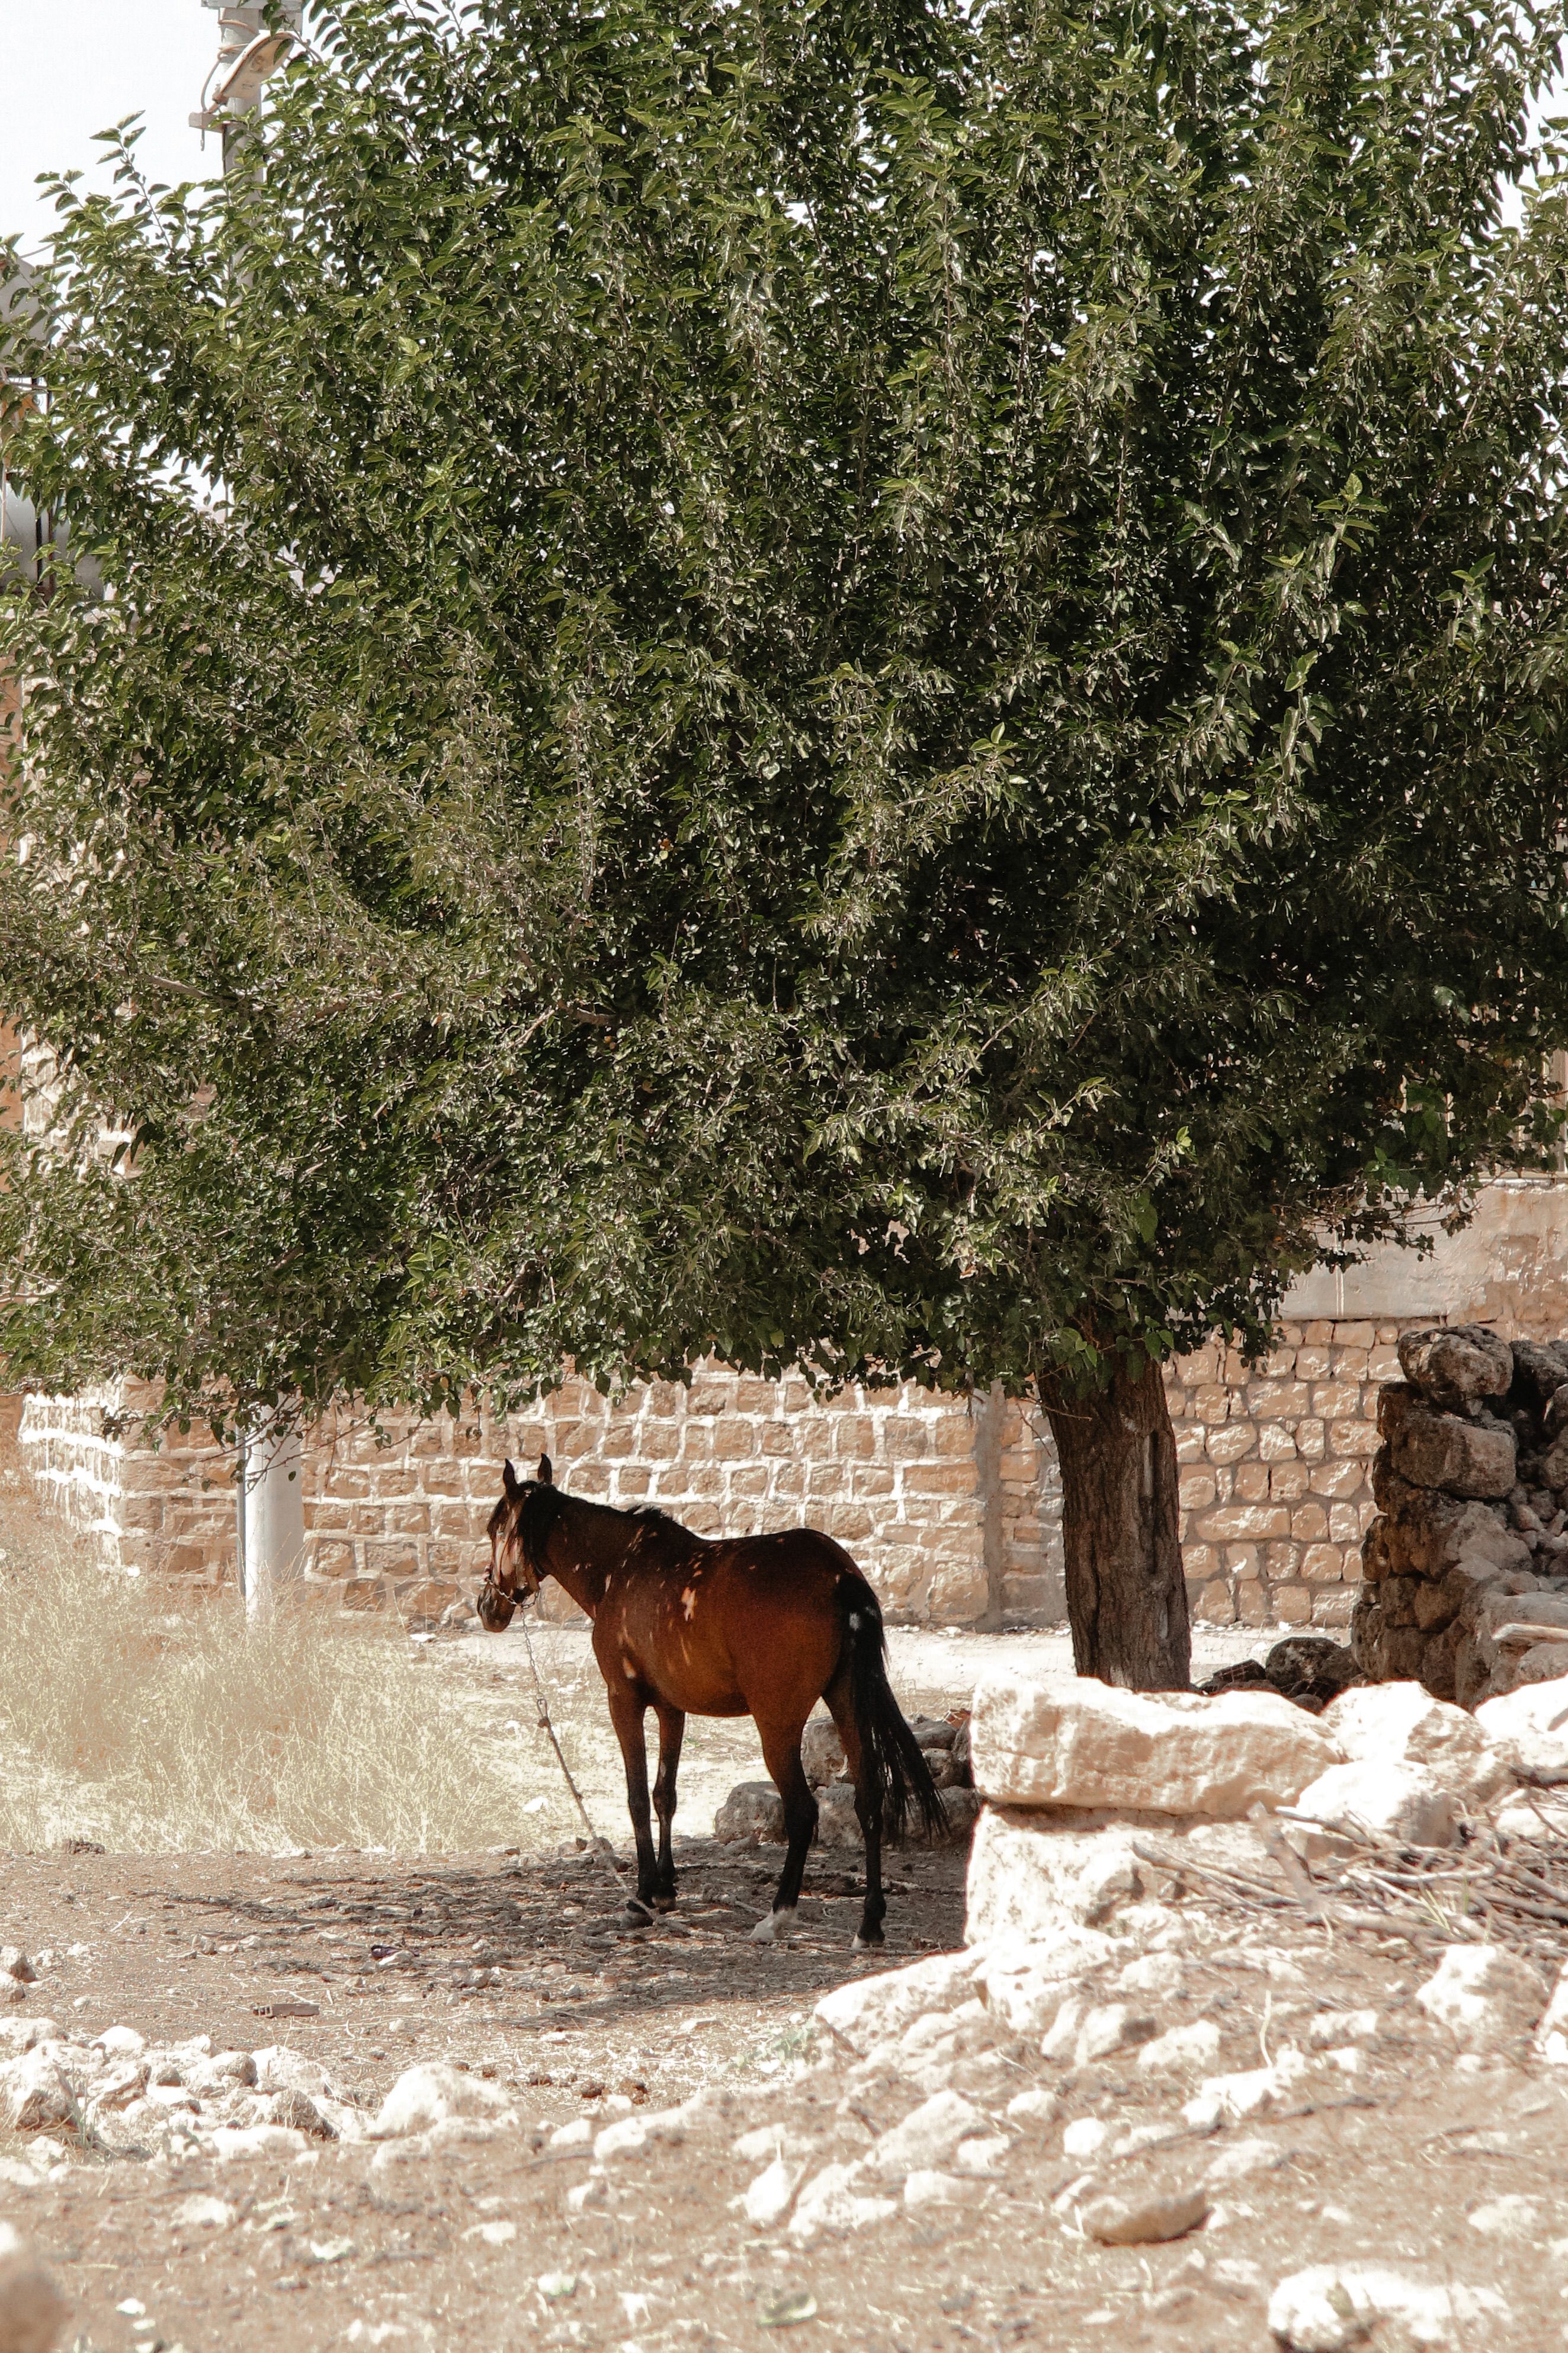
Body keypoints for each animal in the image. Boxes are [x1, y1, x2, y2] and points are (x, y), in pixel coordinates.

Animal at [479, 1454, 944, 1948]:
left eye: (496, 1529)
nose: (487, 1606)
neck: (622, 1567)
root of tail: (838, 1575)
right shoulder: (671, 1708)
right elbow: (664, 1794)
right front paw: (664, 1889)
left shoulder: (623, 1700)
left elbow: (637, 1797)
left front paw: (640, 1899)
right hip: (846, 1705)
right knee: (869, 1800)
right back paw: (869, 1923)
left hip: (778, 1724)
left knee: (802, 1810)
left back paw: (777, 1914)